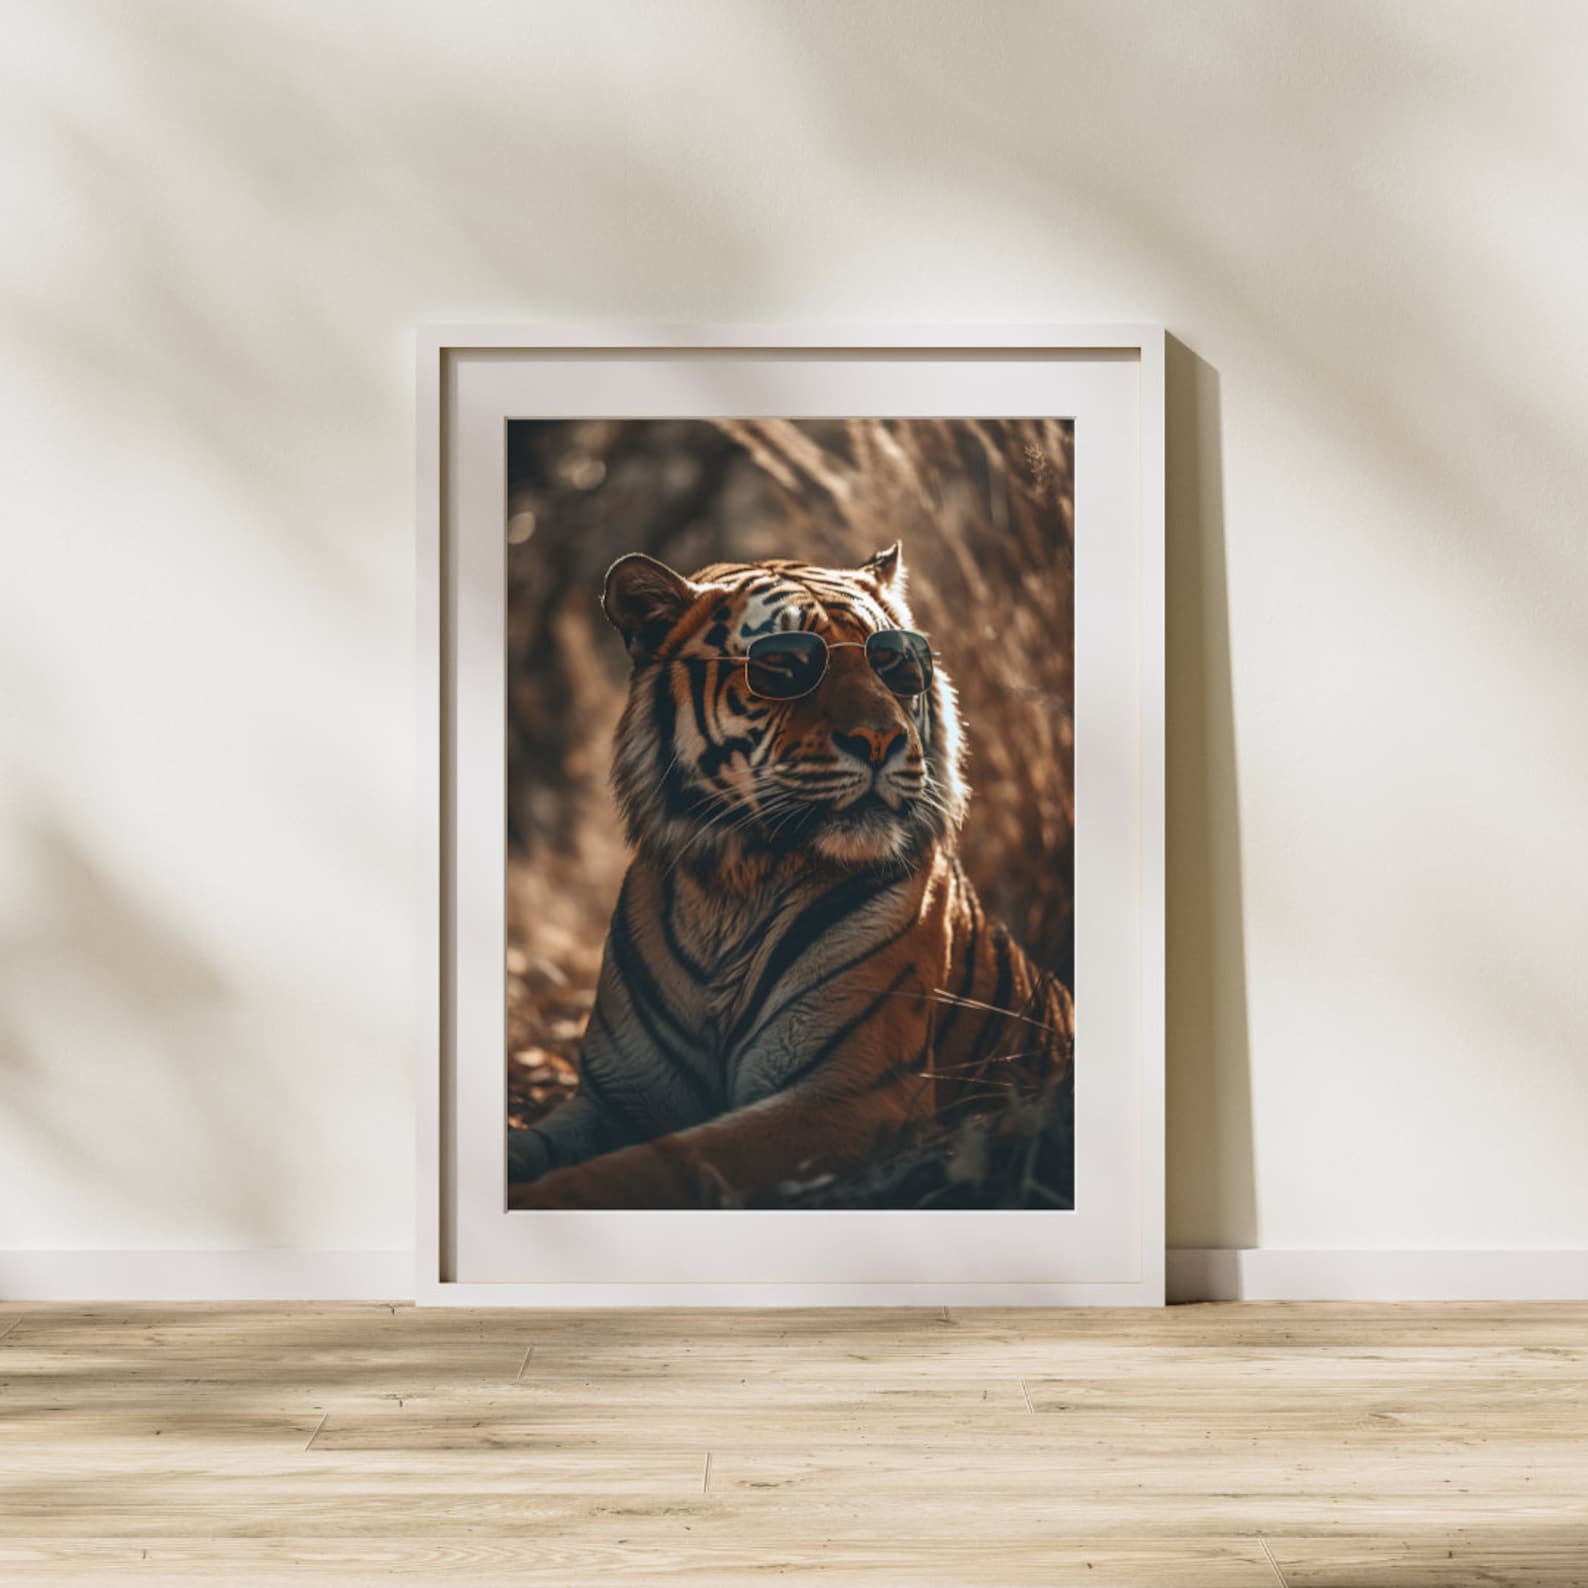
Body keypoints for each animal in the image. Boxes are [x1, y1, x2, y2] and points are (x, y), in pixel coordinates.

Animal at [507, 541, 1074, 1210]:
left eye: (896, 663)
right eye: (784, 667)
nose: (881, 738)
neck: (734, 887)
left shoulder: (848, 1093)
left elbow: (656, 1162)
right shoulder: (616, 1097)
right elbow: (533, 1144)